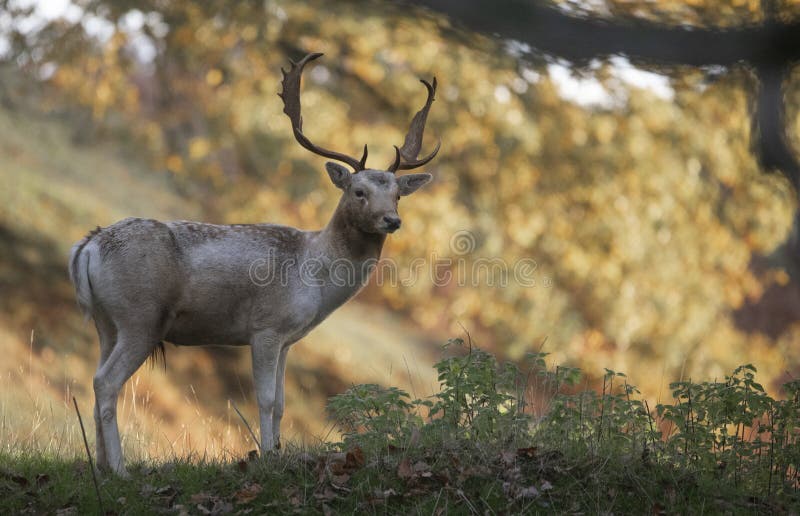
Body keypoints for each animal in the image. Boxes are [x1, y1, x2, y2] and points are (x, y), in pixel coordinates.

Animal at [68, 52, 440, 476]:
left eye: (398, 195)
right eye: (359, 191)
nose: (392, 220)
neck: (315, 275)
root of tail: (88, 246)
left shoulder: (288, 340)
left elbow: (281, 404)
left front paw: (277, 452)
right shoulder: (266, 326)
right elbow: (265, 399)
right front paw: (265, 459)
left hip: (106, 321)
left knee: (95, 376)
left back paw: (100, 464)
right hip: (141, 316)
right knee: (106, 381)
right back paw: (119, 469)